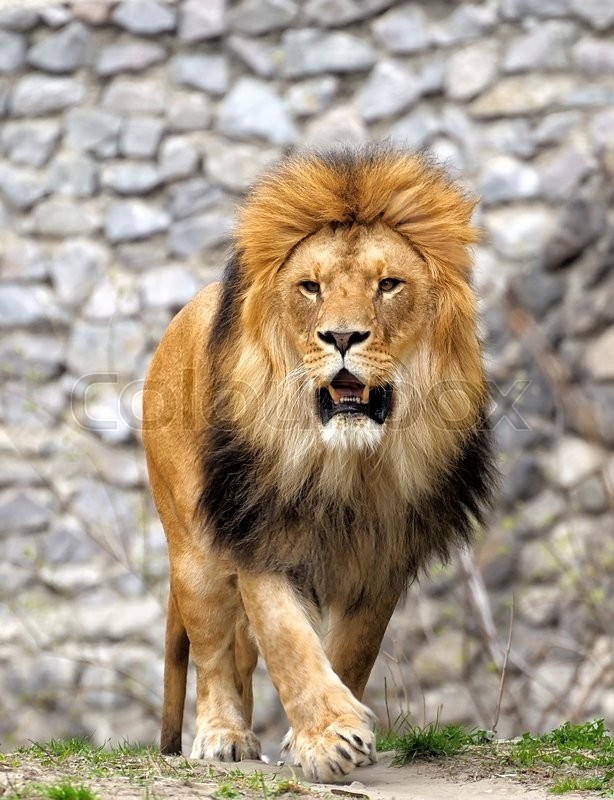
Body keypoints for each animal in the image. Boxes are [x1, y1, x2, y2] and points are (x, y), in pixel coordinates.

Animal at [142, 146, 496, 783]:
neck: (346, 465)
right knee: (213, 654)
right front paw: (330, 739)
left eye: (388, 284)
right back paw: (224, 736)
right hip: (195, 553)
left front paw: (317, 734)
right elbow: (288, 641)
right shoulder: (258, 531)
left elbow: (350, 652)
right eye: (310, 287)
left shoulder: (384, 555)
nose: (343, 336)